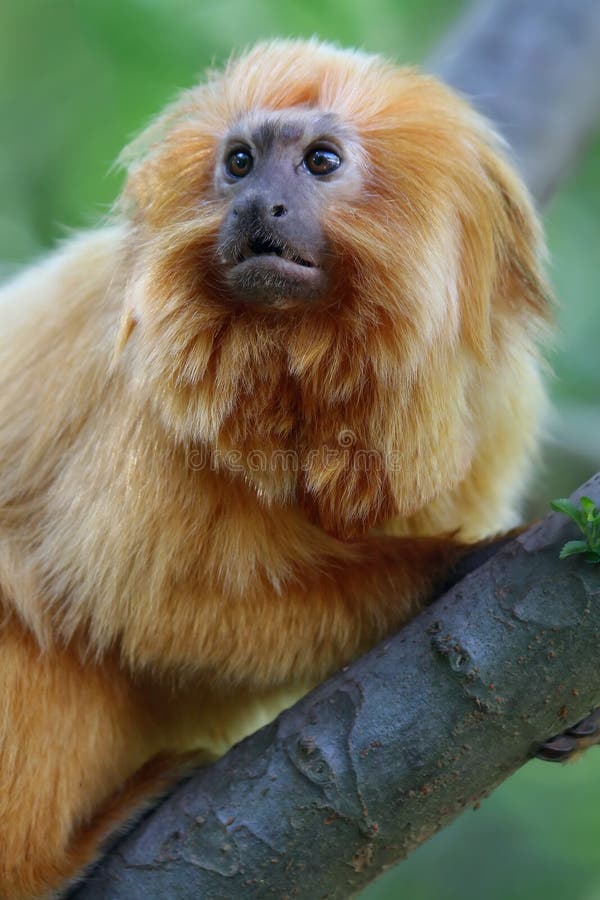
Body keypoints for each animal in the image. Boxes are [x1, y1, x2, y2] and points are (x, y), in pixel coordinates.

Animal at [0, 38, 558, 898]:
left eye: (320, 161)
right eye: (240, 162)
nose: (258, 205)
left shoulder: (492, 407)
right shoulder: (151, 400)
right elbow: (140, 602)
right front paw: (449, 568)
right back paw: (53, 858)